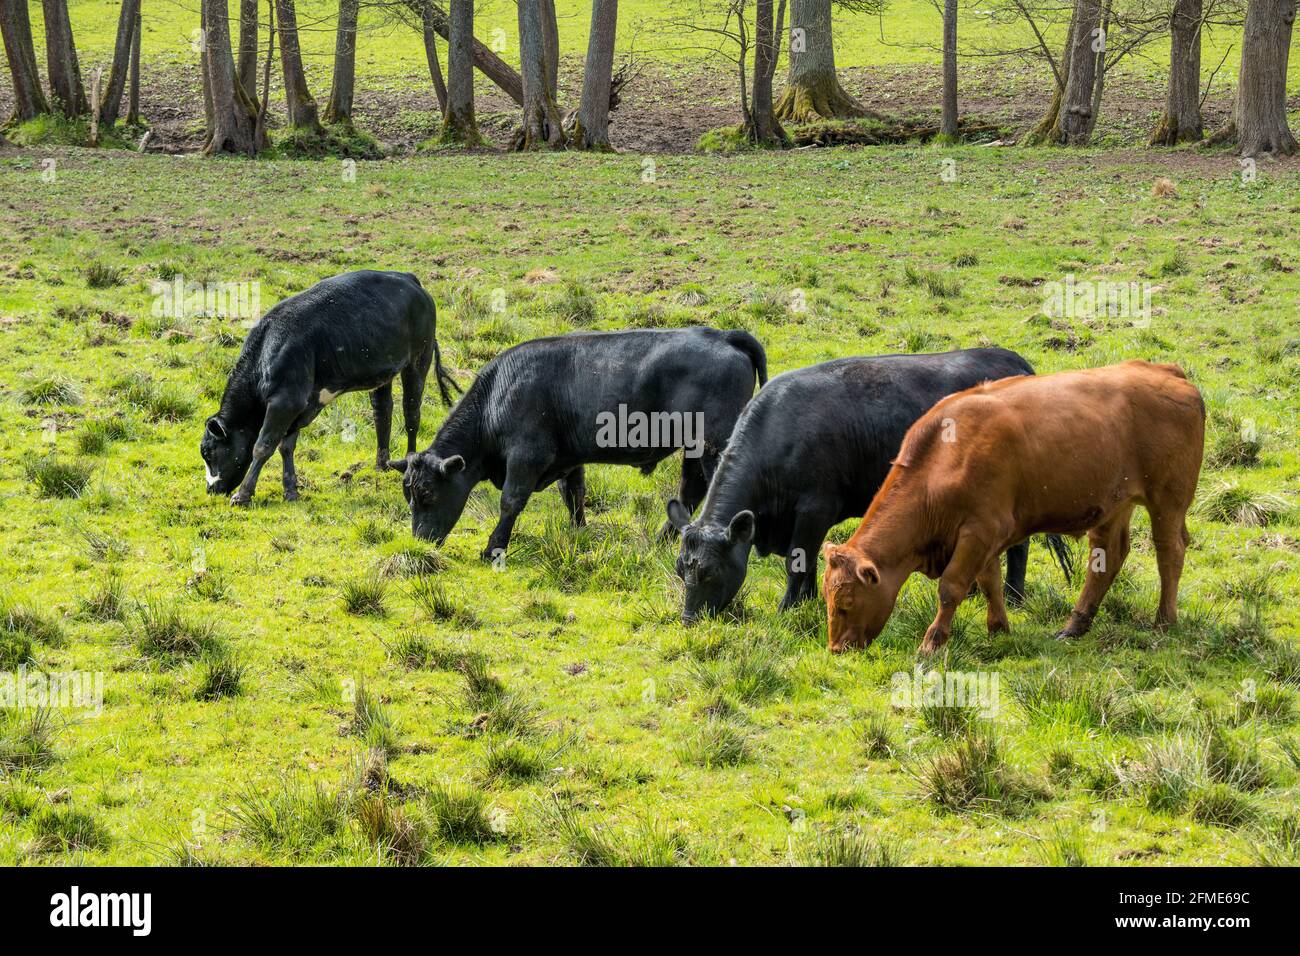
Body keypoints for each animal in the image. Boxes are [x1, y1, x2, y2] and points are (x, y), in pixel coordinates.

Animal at [201, 270, 457, 505]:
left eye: (208, 452)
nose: (211, 490)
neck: (267, 350)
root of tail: (407, 277)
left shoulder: (286, 401)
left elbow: (263, 446)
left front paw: (243, 495)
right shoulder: (299, 405)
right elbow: (286, 446)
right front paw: (291, 491)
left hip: (419, 359)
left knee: (411, 413)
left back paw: (407, 462)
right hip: (383, 370)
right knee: (382, 411)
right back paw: (381, 465)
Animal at [390, 327, 767, 558]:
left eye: (427, 493)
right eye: (408, 494)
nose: (420, 541)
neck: (498, 394)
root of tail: (725, 336)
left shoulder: (526, 458)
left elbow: (511, 502)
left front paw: (493, 549)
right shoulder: (568, 459)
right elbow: (574, 495)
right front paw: (579, 534)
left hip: (713, 446)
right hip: (694, 449)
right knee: (690, 491)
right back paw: (662, 543)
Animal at [666, 348, 1070, 623]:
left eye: (709, 571)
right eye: (681, 568)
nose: (689, 620)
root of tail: (1012, 360)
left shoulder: (815, 508)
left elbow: (798, 562)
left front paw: (787, 609)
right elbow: (809, 565)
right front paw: (808, 603)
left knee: (1018, 546)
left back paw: (1014, 598)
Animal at [823, 360, 1205, 654]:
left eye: (844, 604)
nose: (838, 649)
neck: (945, 458)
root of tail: (1168, 372)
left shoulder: (979, 531)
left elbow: (951, 588)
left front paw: (932, 643)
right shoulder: (983, 537)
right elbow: (990, 582)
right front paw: (998, 628)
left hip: (1168, 500)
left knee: (1170, 552)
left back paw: (1164, 621)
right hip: (1114, 504)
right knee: (1107, 559)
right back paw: (1075, 626)